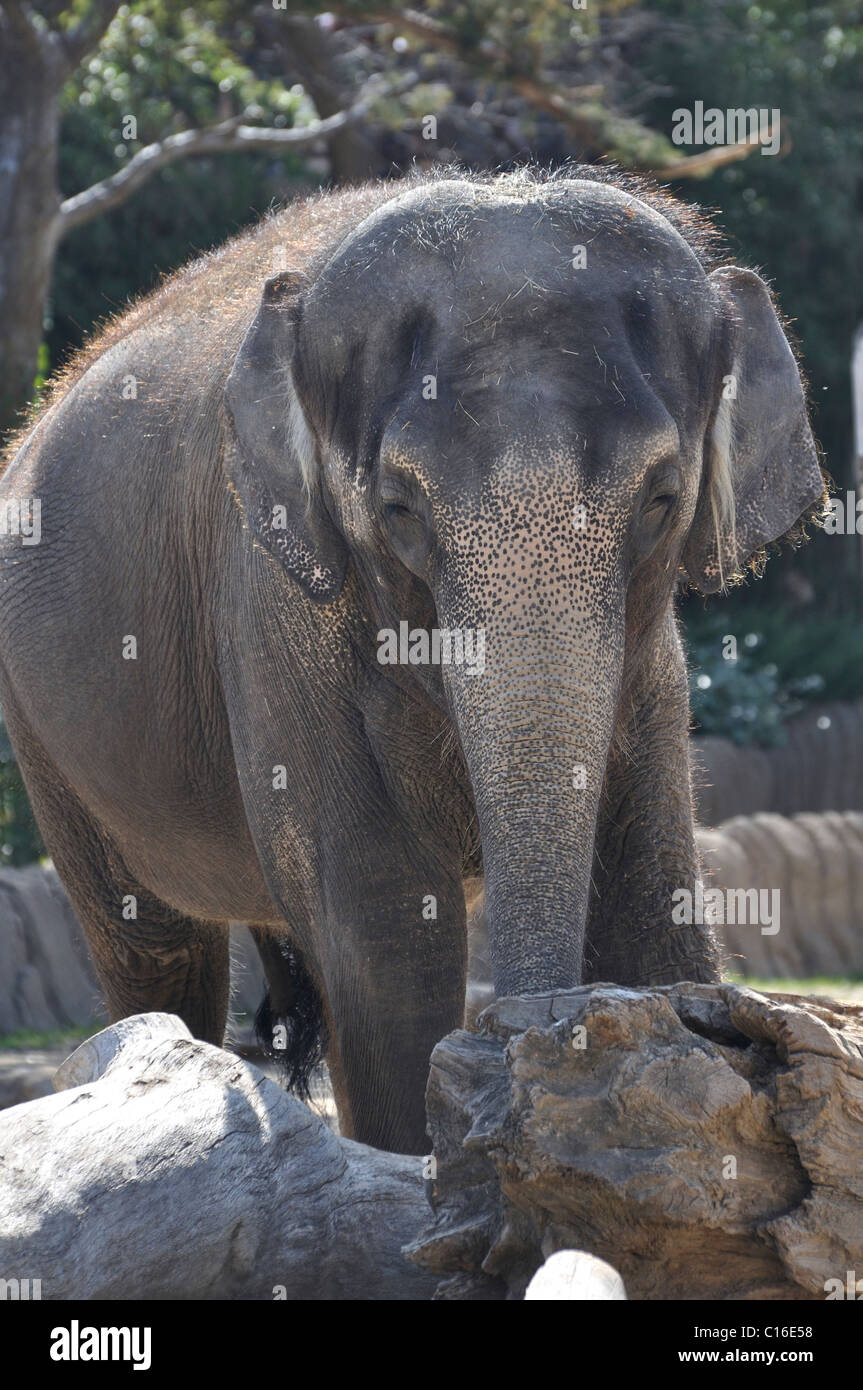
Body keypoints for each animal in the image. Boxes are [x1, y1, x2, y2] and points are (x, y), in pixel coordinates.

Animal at [0, 168, 824, 1154]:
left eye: (661, 499)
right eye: (398, 508)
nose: (531, 1042)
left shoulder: (650, 667)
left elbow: (647, 910)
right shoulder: (271, 609)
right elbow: (387, 934)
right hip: (42, 735)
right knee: (152, 952)